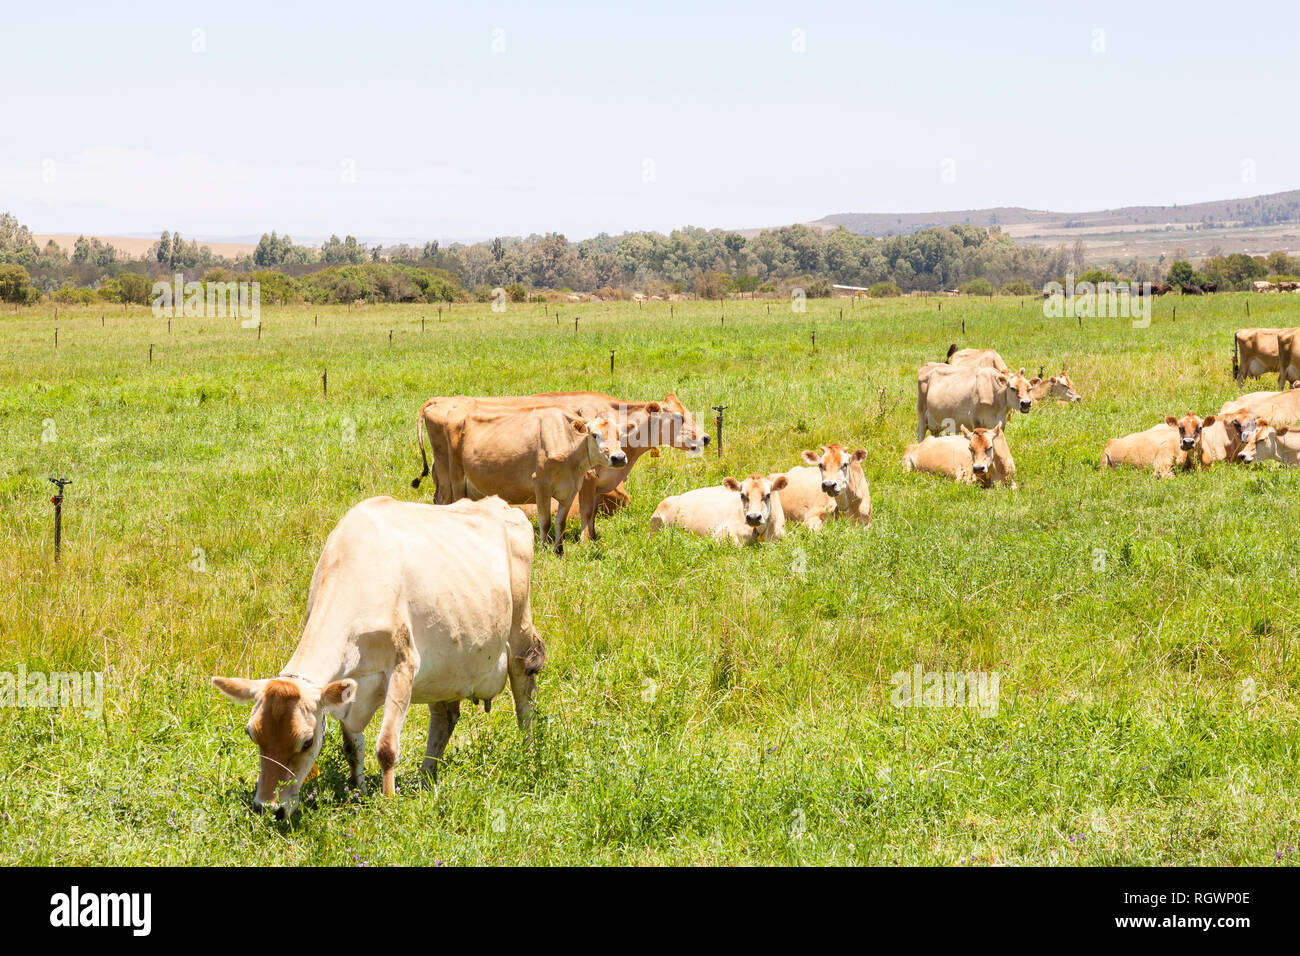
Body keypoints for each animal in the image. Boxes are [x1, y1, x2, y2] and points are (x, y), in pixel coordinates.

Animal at [211, 496, 545, 819]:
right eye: (252, 734)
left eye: (307, 741)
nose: (268, 808)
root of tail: (502, 505)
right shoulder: (347, 685)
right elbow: (352, 746)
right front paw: (357, 792)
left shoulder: (403, 666)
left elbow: (386, 747)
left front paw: (388, 804)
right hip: (446, 666)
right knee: (444, 717)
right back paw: (425, 778)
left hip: (519, 630)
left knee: (524, 695)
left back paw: (528, 755)